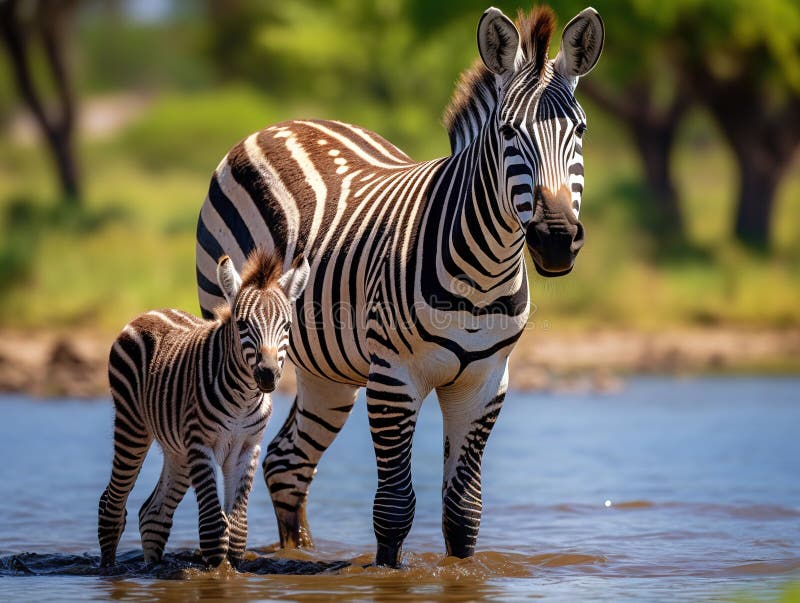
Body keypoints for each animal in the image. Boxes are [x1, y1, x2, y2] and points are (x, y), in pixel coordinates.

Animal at [98, 249, 310, 568]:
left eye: (286, 326)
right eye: (242, 325)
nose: (267, 375)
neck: (244, 398)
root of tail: (150, 311)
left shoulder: (247, 448)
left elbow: (236, 530)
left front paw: (231, 570)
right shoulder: (201, 445)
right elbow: (214, 528)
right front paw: (216, 572)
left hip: (177, 450)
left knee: (153, 513)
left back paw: (153, 568)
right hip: (132, 425)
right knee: (111, 505)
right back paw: (108, 570)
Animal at [195, 5, 603, 567]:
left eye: (580, 130)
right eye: (507, 132)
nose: (557, 240)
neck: (483, 276)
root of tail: (286, 123)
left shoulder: (484, 382)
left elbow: (464, 511)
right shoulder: (394, 377)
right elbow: (393, 507)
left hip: (325, 371)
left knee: (287, 462)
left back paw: (299, 553)